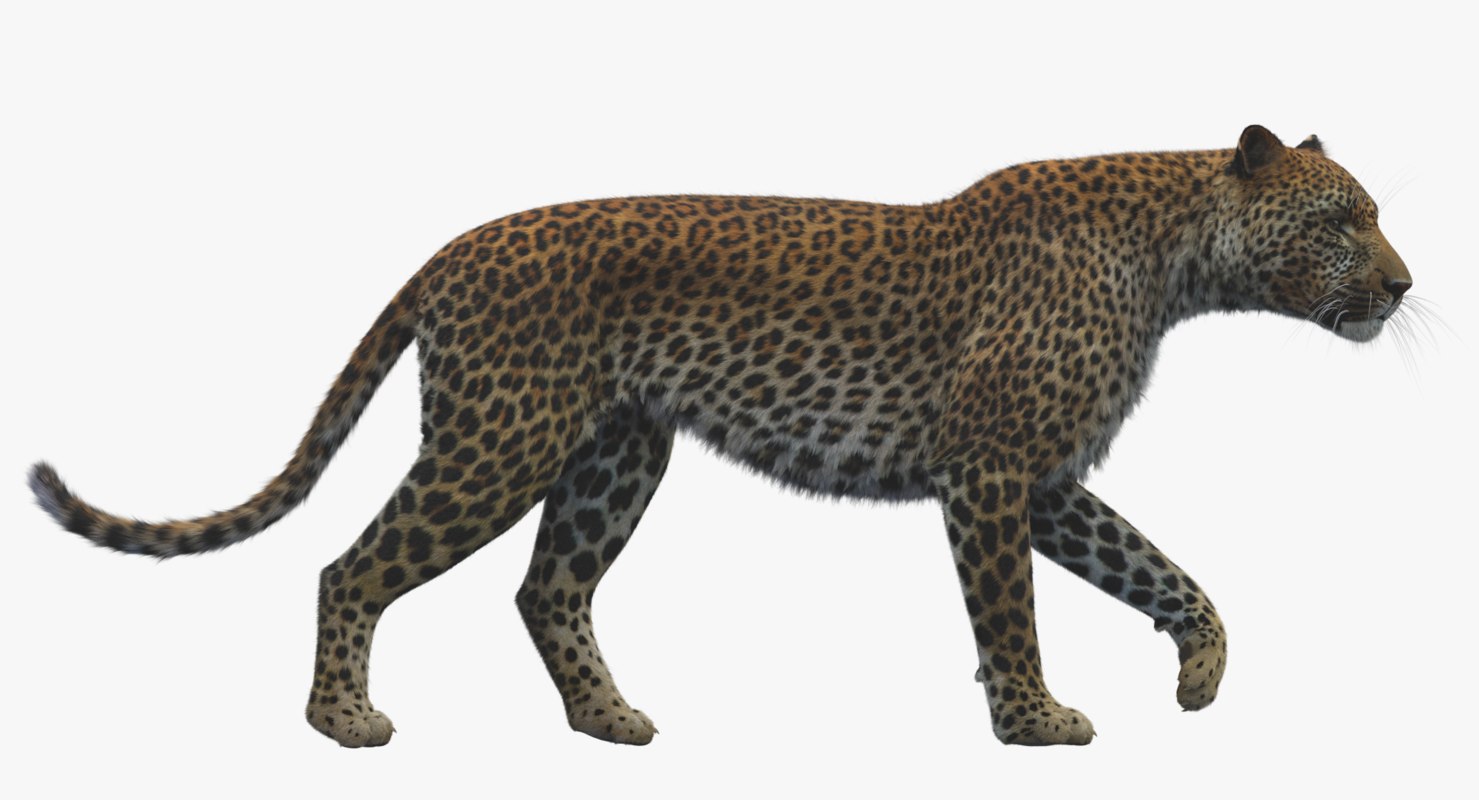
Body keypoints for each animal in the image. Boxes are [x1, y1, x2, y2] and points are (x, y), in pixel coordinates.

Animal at [29, 125, 1412, 747]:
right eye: (1341, 219)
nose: (1401, 285)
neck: (1181, 258)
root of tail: (454, 247)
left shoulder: (1048, 475)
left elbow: (1163, 568)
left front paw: (1200, 673)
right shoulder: (993, 468)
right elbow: (1009, 608)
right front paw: (1033, 718)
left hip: (615, 453)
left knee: (547, 586)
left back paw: (611, 720)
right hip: (499, 440)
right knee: (351, 564)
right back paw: (345, 721)